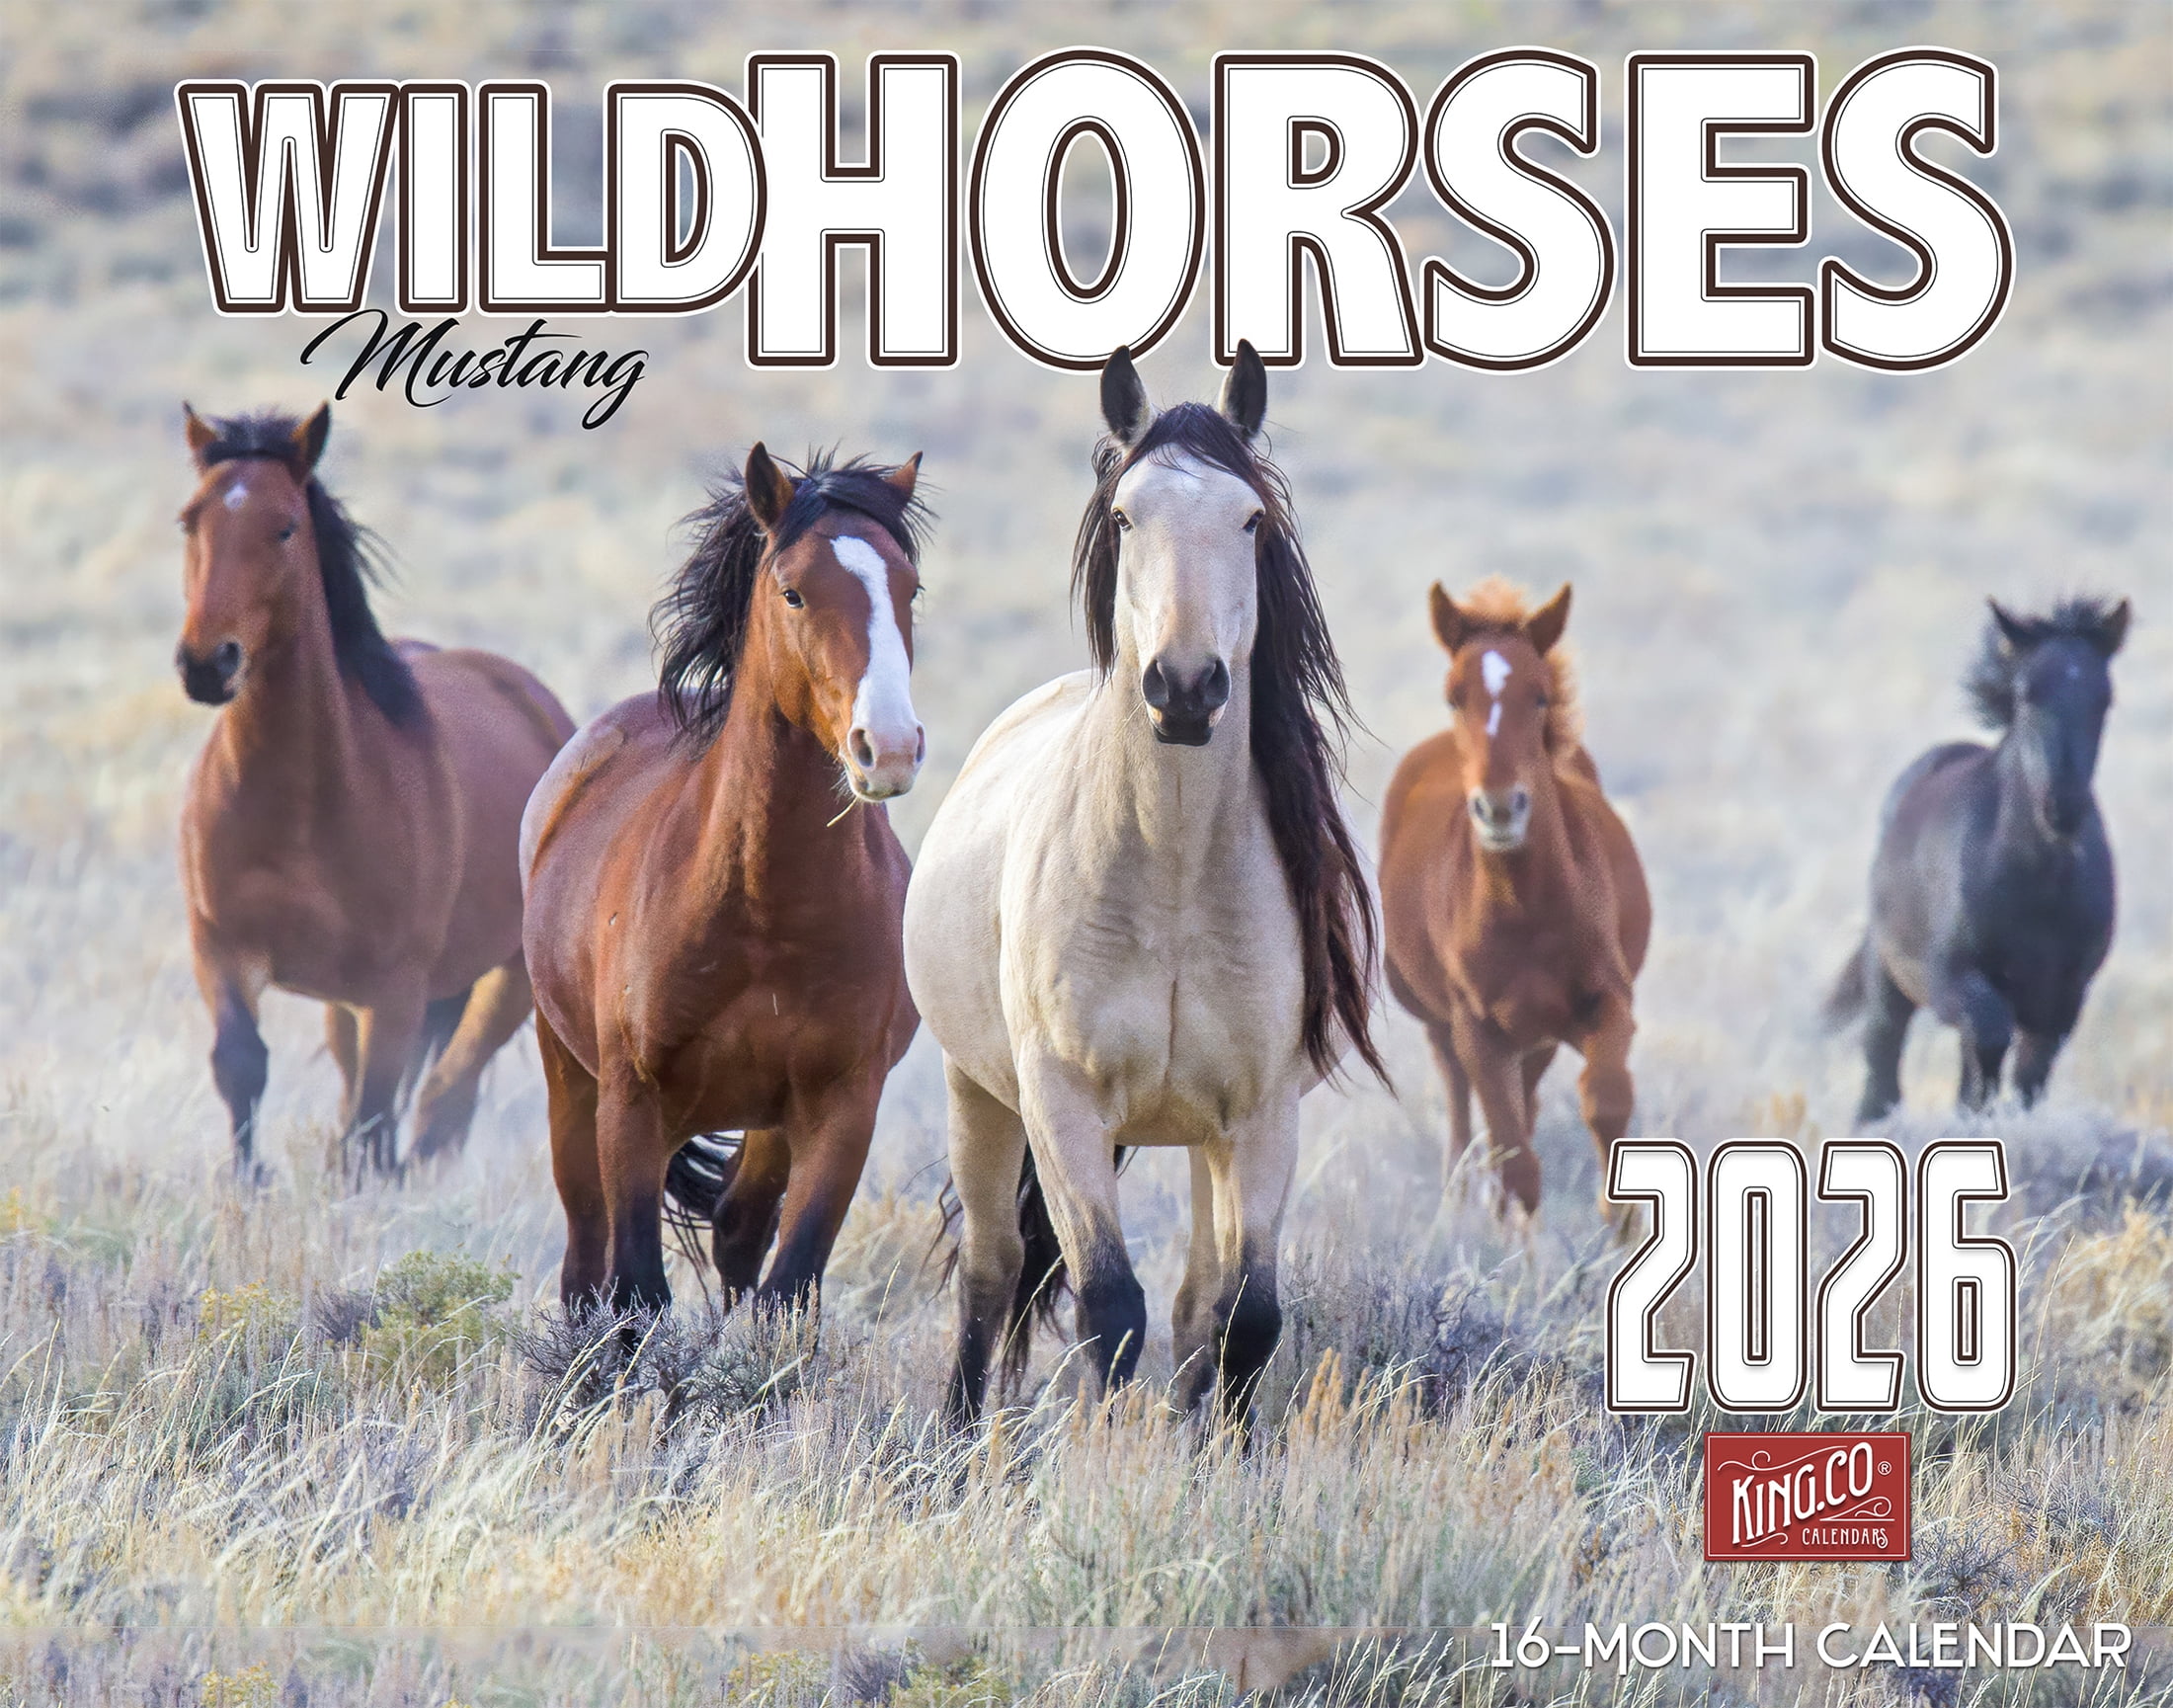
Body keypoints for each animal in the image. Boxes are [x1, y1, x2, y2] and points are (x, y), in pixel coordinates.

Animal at [174, 403, 574, 1177]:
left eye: (285, 527)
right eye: (189, 521)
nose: (208, 663)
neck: (299, 807)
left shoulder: (394, 991)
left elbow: (374, 1119)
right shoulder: (221, 947)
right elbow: (242, 1064)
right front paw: (248, 1184)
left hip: (506, 981)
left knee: (442, 1100)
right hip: (346, 1003)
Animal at [521, 445, 928, 1318]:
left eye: (910, 587)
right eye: (793, 590)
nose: (888, 746)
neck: (765, 912)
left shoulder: (841, 1107)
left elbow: (788, 1286)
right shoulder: (632, 1103)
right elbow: (637, 1291)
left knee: (740, 1234)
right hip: (572, 1082)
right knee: (586, 1258)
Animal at [904, 342, 1382, 1426]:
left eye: (1251, 519)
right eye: (1126, 515)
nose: (1186, 686)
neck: (1168, 876)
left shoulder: (1260, 1115)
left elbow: (1242, 1316)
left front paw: (1214, 1453)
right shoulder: (1062, 1104)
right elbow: (1106, 1305)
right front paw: (1107, 1449)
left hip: (1204, 1141)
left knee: (1200, 1296)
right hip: (976, 1095)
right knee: (990, 1271)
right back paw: (954, 1437)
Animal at [1377, 578, 1651, 1219]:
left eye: (1540, 695)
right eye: (1455, 696)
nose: (1500, 808)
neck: (1526, 912)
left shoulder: (1607, 1001)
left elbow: (1605, 1100)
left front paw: (1621, 1221)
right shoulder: (1479, 1031)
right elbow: (1513, 1158)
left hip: (1538, 1035)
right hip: (1441, 1017)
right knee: (1458, 1093)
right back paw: (1457, 1195)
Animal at [1828, 595, 2128, 1119]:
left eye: (2104, 698)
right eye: (2027, 693)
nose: (2063, 806)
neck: (2038, 887)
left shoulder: (2062, 1001)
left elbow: (2027, 1082)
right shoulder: (1952, 980)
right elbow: (1987, 1048)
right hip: (1889, 982)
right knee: (1882, 1072)